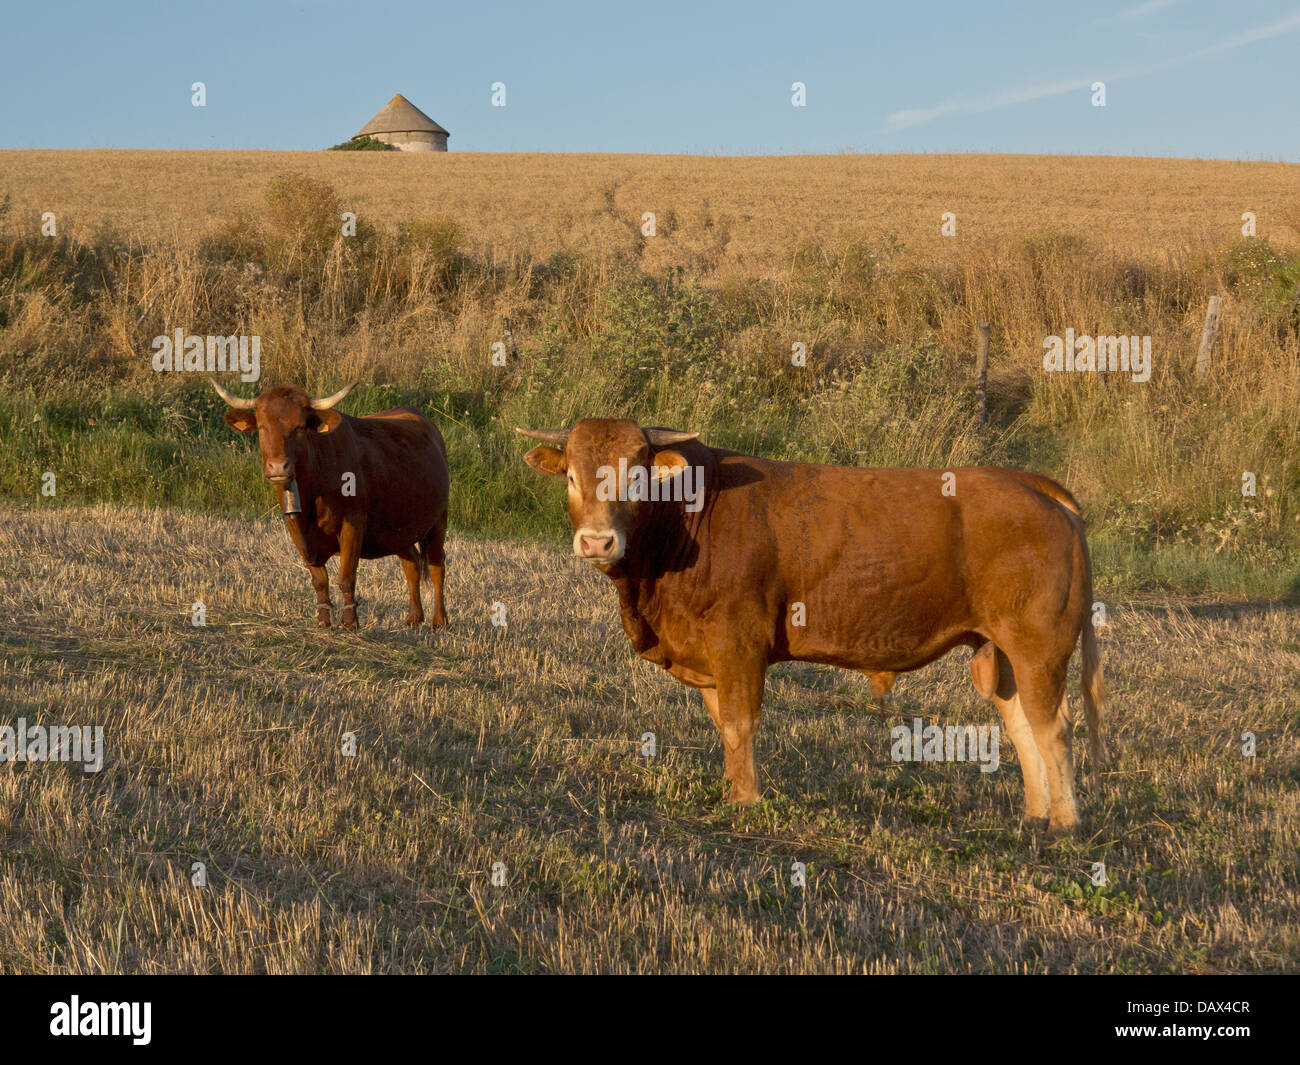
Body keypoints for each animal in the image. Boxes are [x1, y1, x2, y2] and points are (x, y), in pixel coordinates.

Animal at [211, 379, 449, 631]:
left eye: (300, 427)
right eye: (263, 427)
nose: (278, 467)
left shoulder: (353, 525)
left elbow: (346, 577)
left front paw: (350, 623)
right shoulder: (296, 531)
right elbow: (319, 580)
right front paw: (323, 621)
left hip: (438, 520)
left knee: (437, 566)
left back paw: (439, 620)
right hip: (398, 527)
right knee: (411, 563)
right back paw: (414, 617)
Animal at [519, 418, 1106, 832]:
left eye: (636, 475)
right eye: (571, 476)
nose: (597, 542)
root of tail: (1029, 484)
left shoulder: (739, 642)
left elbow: (740, 723)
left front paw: (746, 801)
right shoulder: (709, 656)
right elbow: (723, 725)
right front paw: (733, 789)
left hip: (1038, 647)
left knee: (1052, 726)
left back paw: (1065, 822)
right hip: (1000, 650)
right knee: (1022, 722)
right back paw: (1034, 813)